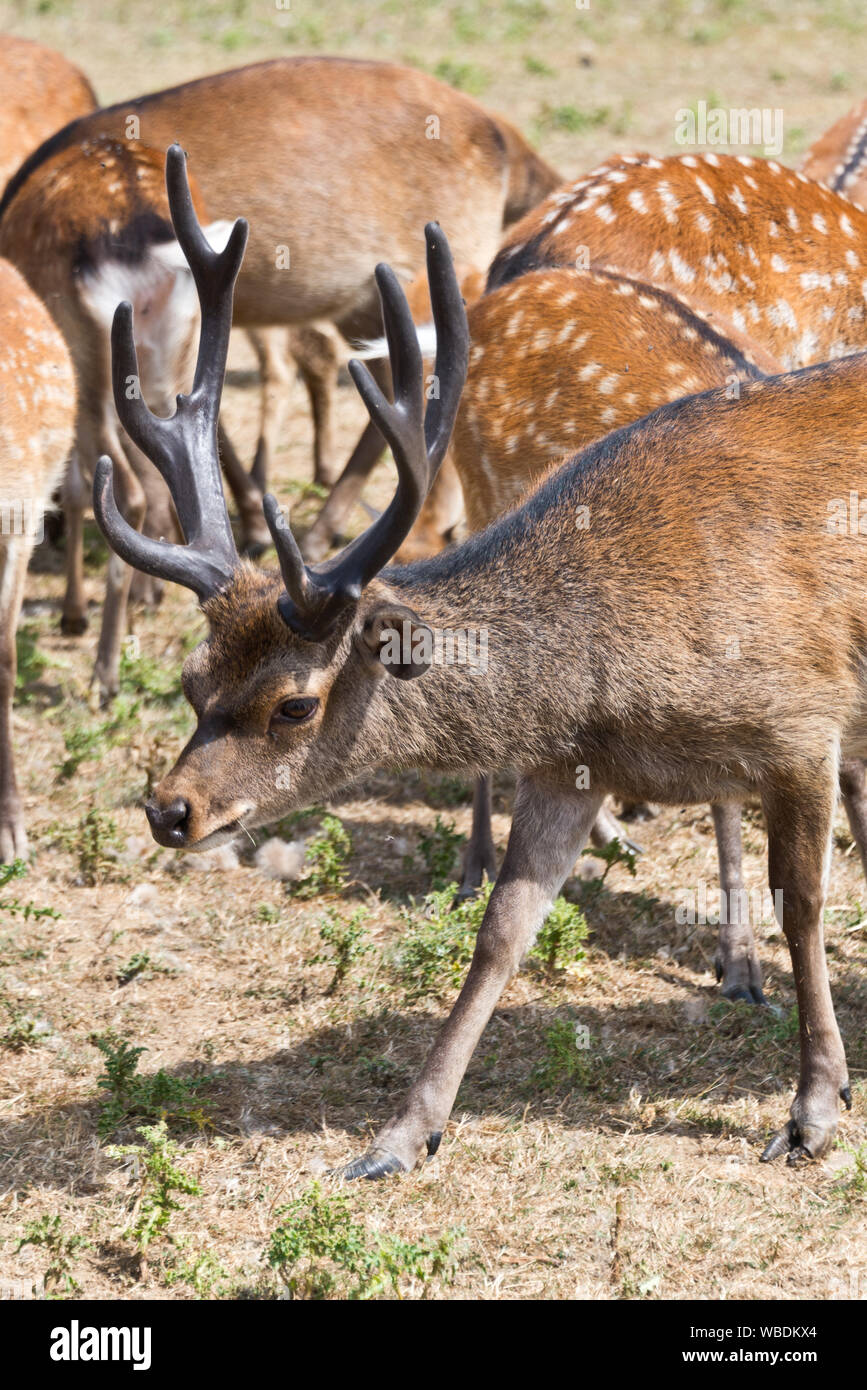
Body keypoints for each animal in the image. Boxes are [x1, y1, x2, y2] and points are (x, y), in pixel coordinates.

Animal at [95, 147, 859, 1177]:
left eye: (295, 703)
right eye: (190, 679)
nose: (170, 811)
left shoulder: (802, 717)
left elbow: (804, 902)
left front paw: (813, 1108)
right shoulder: (571, 764)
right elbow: (502, 932)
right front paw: (399, 1135)